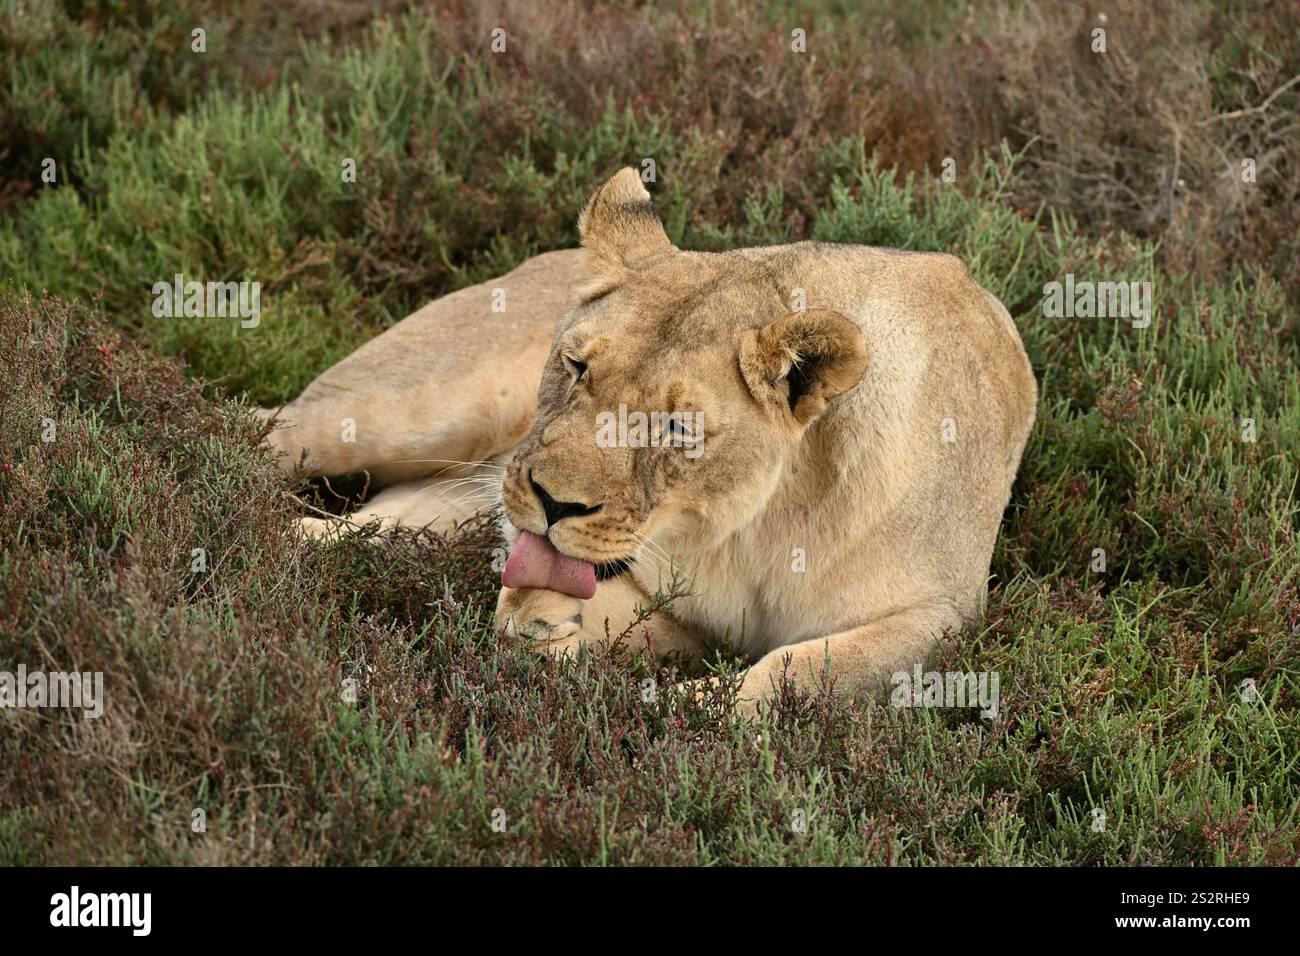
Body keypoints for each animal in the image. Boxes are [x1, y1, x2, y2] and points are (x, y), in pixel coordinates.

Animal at [263, 168, 1038, 713]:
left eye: (677, 428)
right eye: (577, 367)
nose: (551, 502)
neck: (750, 526)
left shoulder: (940, 618)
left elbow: (799, 670)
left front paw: (690, 709)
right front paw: (538, 621)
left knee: (367, 521)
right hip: (401, 410)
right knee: (257, 438)